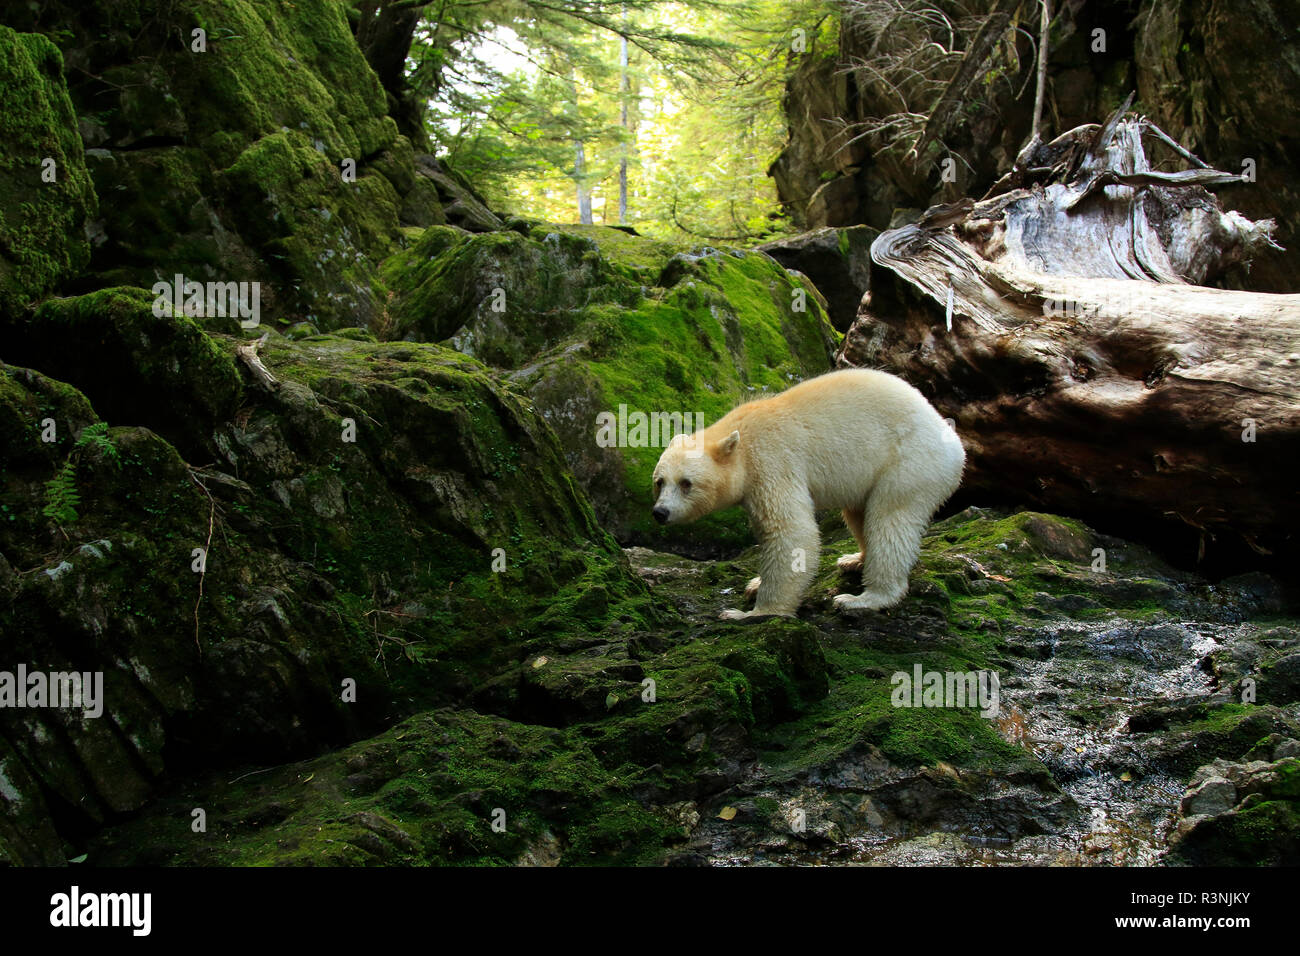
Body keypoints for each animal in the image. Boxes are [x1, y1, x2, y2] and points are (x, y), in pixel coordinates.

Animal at [650, 367, 964, 620]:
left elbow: (791, 532)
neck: (742, 440)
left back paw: (862, 598)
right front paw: (755, 584)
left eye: (686, 483)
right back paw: (854, 559)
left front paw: (749, 613)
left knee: (890, 519)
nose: (660, 512)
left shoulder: (771, 461)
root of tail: (954, 442)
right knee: (859, 513)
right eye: (659, 481)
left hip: (910, 462)